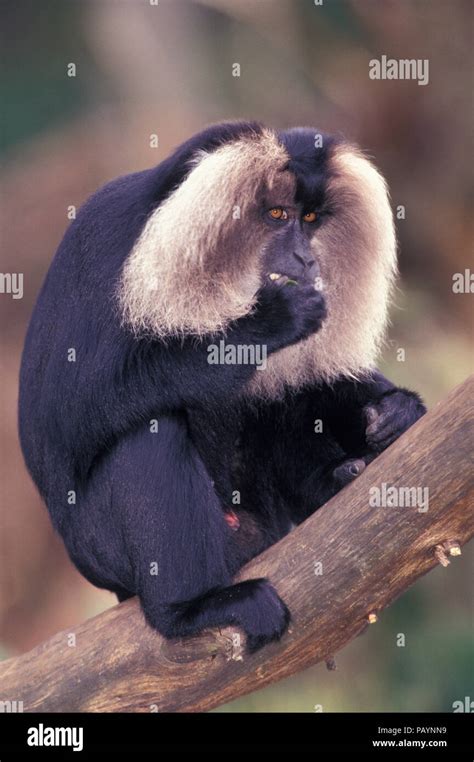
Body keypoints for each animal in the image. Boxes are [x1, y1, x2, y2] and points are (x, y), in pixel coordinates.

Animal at [19, 121, 425, 652]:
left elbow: (312, 379)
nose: (306, 258)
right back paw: (190, 609)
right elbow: (65, 411)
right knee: (148, 431)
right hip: (106, 552)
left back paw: (342, 475)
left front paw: (397, 409)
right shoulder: (104, 243)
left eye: (310, 219)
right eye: (277, 215)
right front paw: (265, 325)